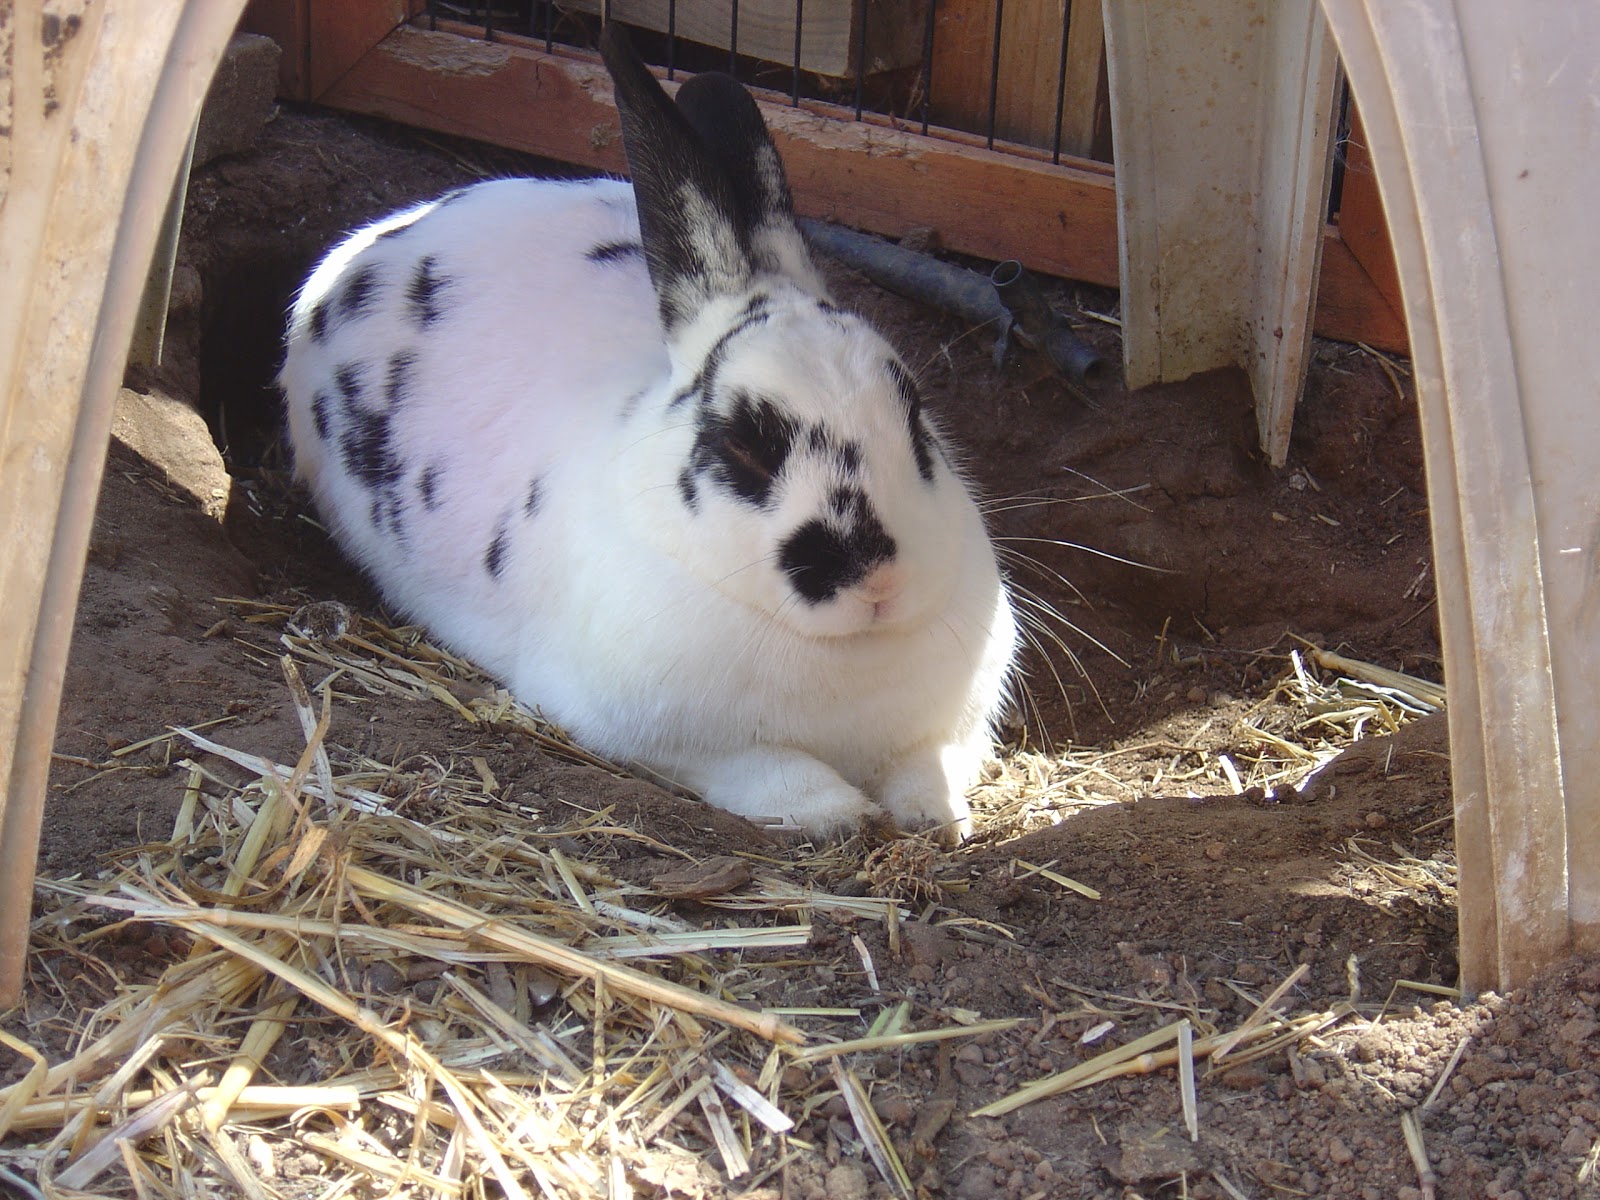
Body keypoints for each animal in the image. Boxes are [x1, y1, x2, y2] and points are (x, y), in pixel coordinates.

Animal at [279, 25, 1018, 838]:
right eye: (744, 442)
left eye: (915, 416)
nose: (877, 580)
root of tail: (365, 243)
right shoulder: (663, 738)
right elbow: (764, 771)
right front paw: (833, 811)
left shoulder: (949, 731)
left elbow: (930, 767)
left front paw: (936, 817)